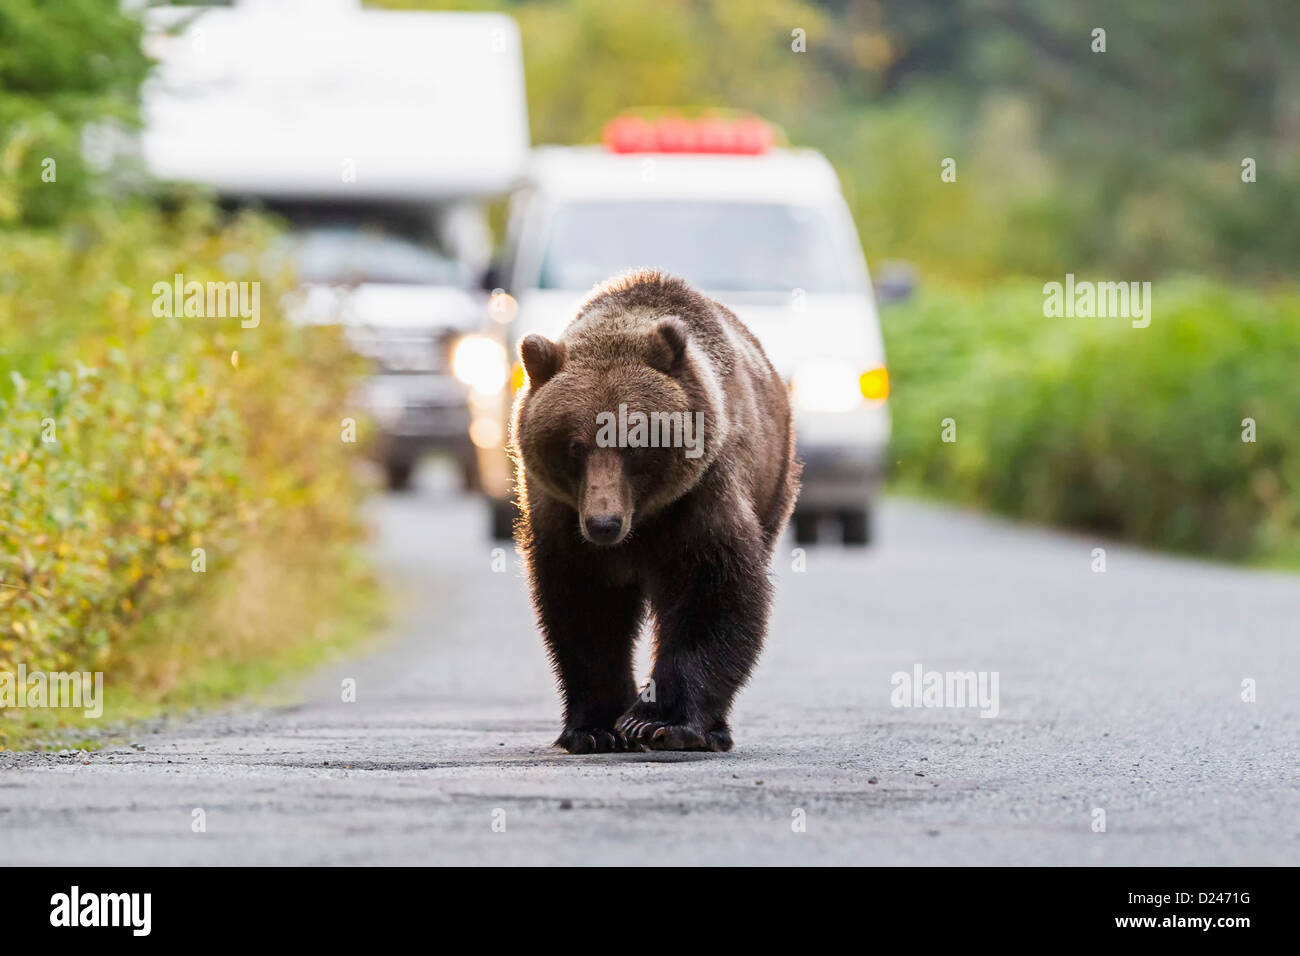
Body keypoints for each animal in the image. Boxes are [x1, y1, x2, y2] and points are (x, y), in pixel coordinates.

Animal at [511, 270, 799, 753]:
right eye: (574, 446)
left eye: (634, 443)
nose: (603, 523)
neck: (641, 521)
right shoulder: (562, 515)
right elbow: (583, 607)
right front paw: (595, 727)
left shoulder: (701, 493)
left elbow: (713, 593)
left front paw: (658, 722)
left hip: (774, 481)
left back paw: (716, 731)